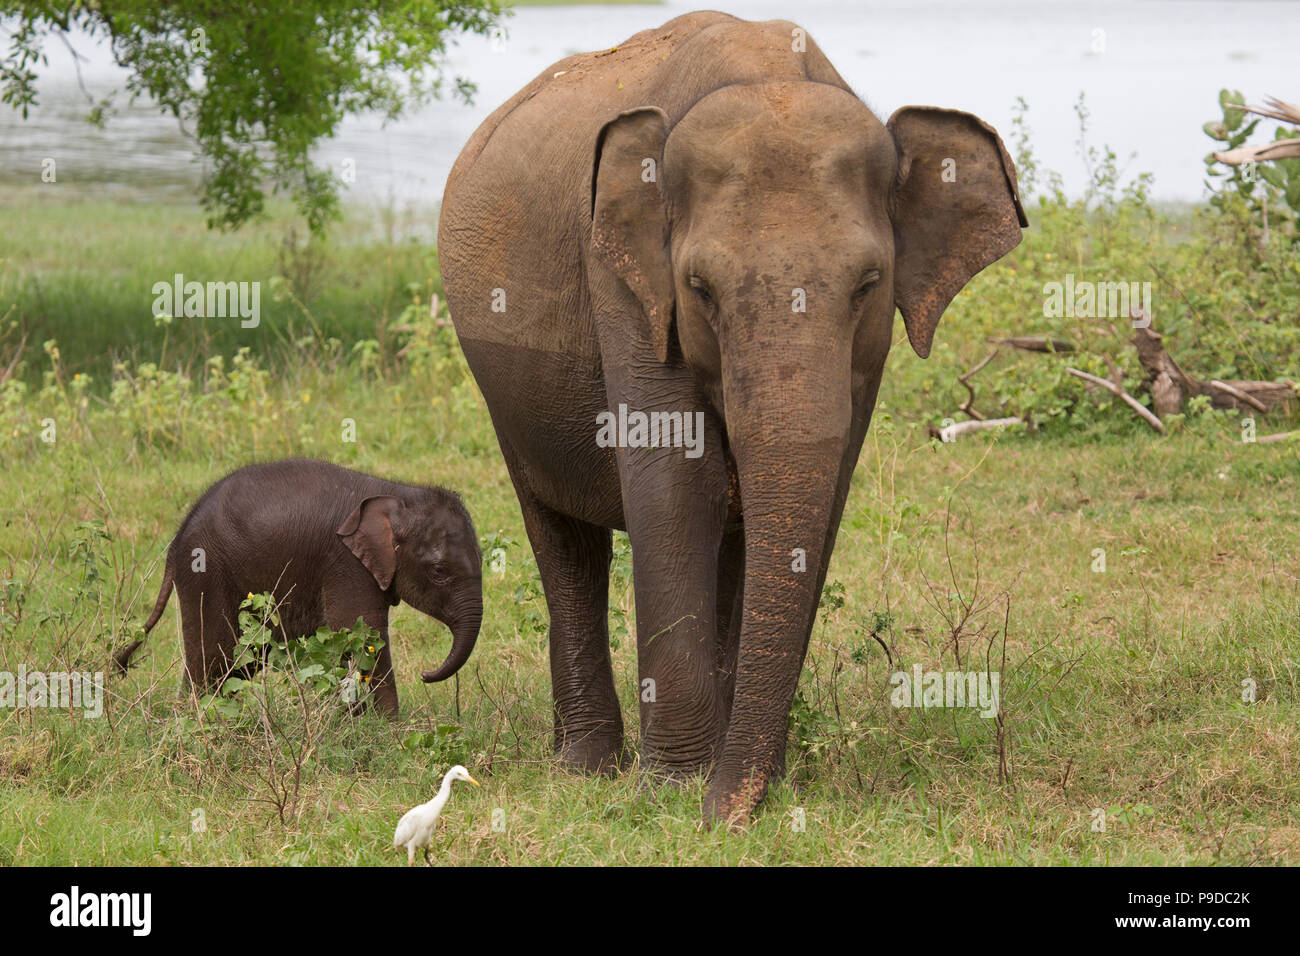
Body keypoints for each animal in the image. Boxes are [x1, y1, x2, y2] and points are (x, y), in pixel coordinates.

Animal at [113, 459, 483, 716]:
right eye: (439, 571)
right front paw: (390, 729)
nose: (424, 674)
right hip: (205, 573)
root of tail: (176, 539)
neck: (398, 493)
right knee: (213, 657)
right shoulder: (346, 564)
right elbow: (363, 632)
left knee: (237, 663)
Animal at [437, 11, 1026, 824]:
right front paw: (676, 790)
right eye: (700, 288)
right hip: (504, 391)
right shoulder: (623, 283)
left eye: (868, 284)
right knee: (564, 541)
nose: (728, 817)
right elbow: (676, 491)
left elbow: (811, 509)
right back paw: (586, 766)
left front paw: (742, 785)